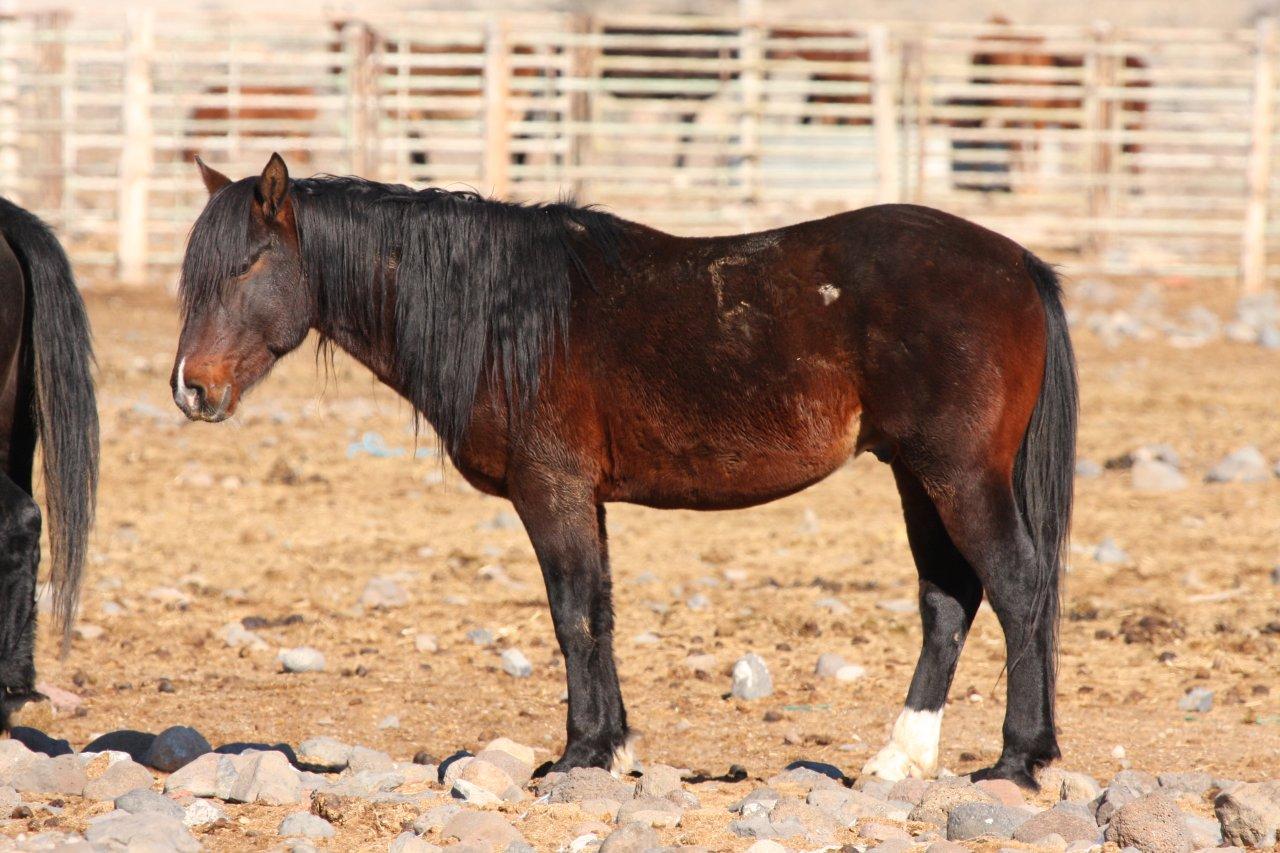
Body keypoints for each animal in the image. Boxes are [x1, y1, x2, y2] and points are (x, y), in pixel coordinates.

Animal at [172, 154, 1077, 788]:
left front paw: (579, 753)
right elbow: (600, 612)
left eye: (249, 264)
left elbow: (572, 614)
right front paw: (614, 746)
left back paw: (1017, 759)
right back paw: (901, 758)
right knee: (948, 600)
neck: (505, 315)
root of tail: (1018, 265)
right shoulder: (586, 498)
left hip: (956, 473)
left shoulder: (552, 490)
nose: (191, 388)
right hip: (917, 475)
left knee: (1018, 586)